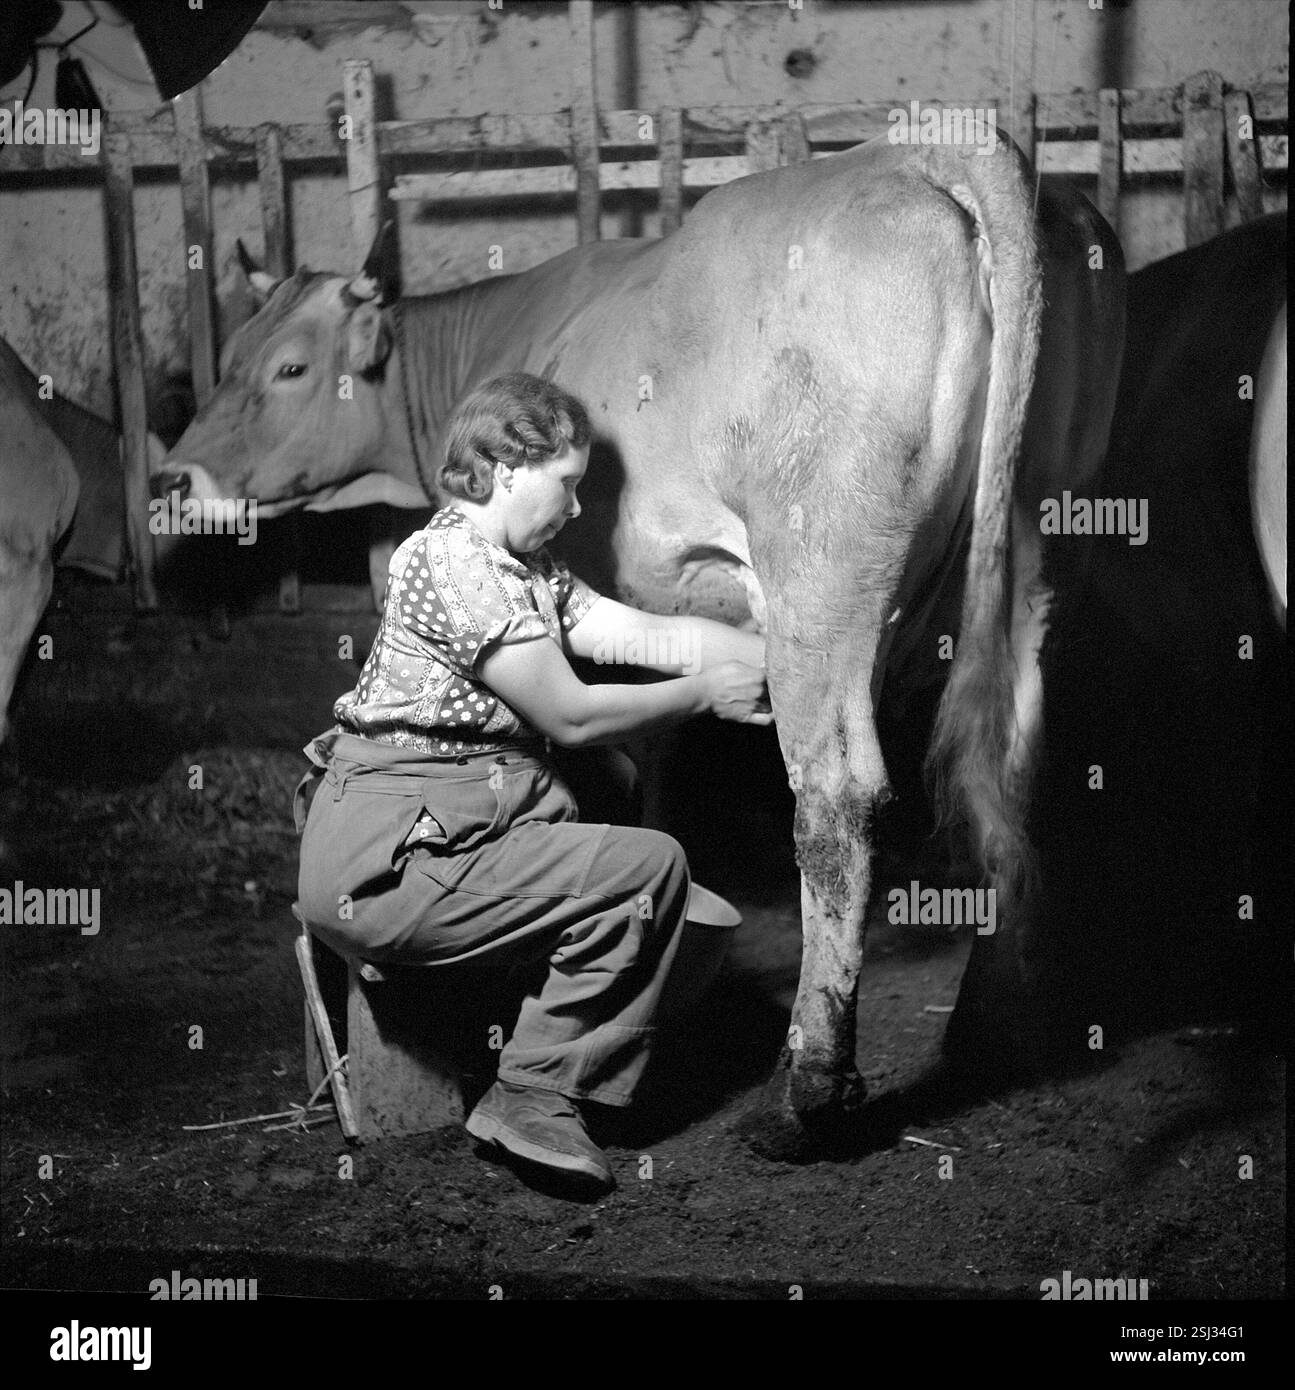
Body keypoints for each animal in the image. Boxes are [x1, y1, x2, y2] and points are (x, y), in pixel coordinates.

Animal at [157, 131, 1125, 1151]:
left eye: (290, 369)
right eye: (231, 355)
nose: (175, 478)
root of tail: (938, 145)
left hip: (820, 575)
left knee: (836, 798)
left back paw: (806, 1091)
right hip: (1041, 544)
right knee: (1012, 767)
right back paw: (994, 1024)